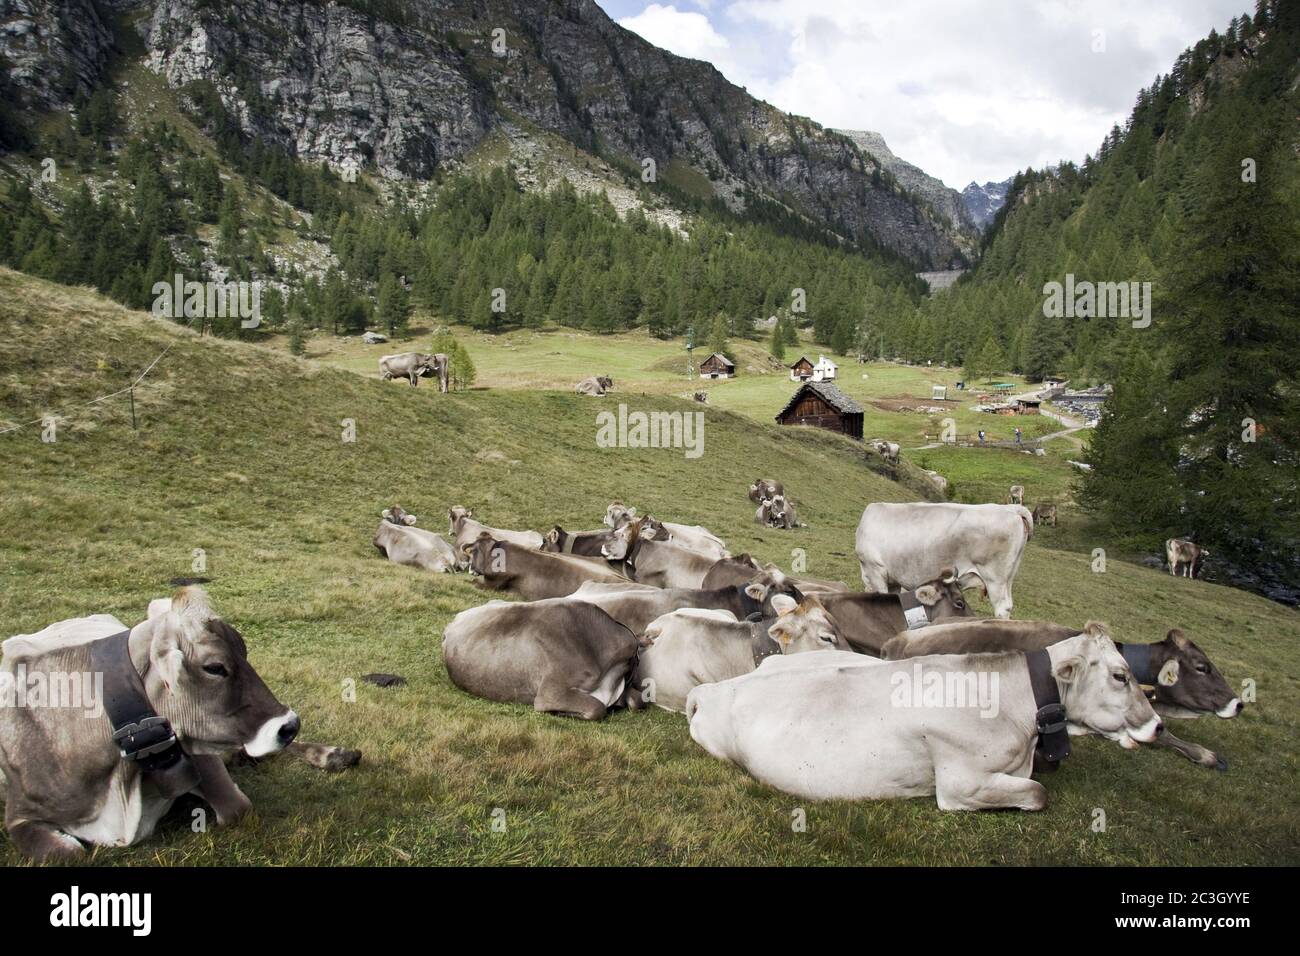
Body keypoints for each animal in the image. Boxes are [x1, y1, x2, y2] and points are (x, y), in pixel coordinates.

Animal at [855, 501, 1033, 618]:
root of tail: (1011, 509)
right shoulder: (892, 580)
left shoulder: (874, 570)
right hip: (1008, 579)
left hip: (994, 579)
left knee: (1002, 609)